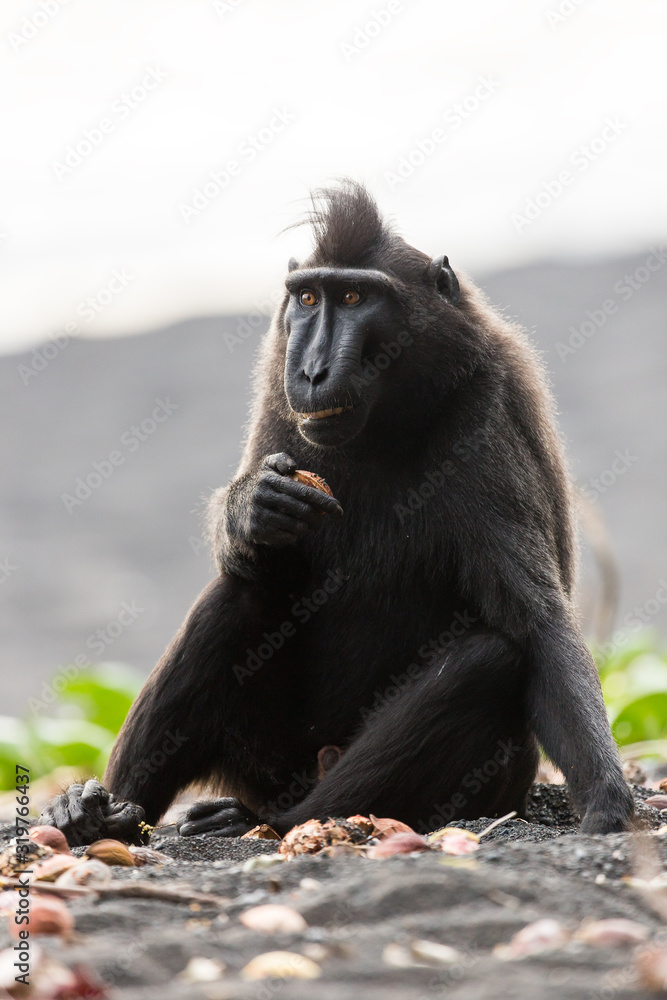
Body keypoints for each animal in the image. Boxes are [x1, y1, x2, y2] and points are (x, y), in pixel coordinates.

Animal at [40, 180, 633, 846]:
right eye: (307, 297)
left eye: (353, 297)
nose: (312, 370)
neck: (390, 416)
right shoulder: (278, 394)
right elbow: (251, 548)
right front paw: (252, 506)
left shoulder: (487, 414)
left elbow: (535, 623)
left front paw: (606, 799)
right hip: (266, 756)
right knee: (244, 590)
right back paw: (103, 813)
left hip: (482, 780)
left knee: (489, 660)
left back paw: (270, 823)